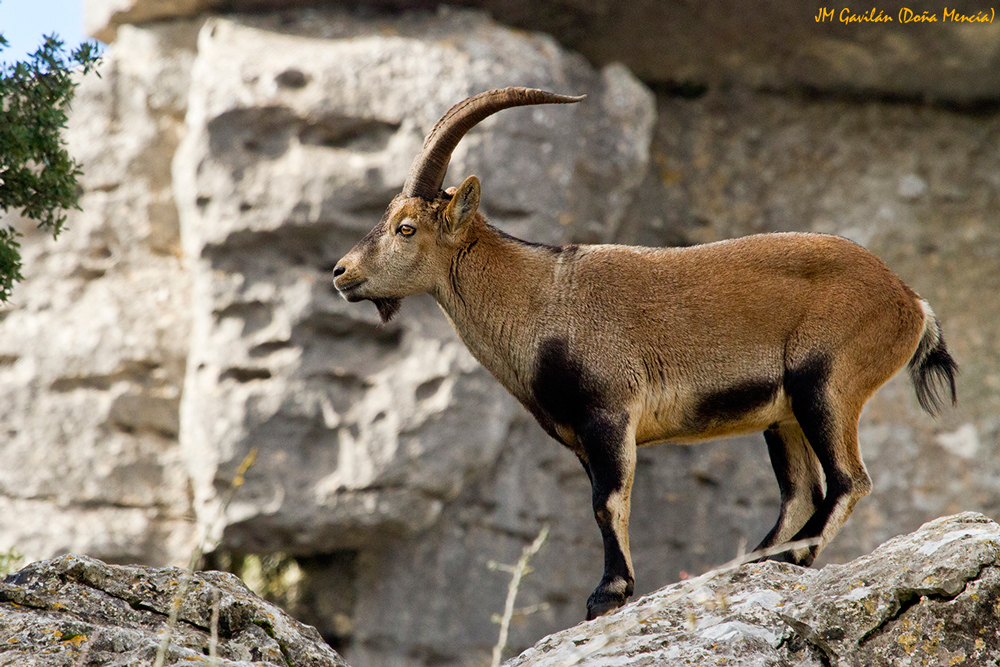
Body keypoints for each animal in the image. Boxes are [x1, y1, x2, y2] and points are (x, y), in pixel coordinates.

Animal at [333, 87, 958, 620]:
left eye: (406, 227)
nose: (341, 272)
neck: (541, 298)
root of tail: (909, 301)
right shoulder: (582, 436)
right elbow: (603, 501)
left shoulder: (609, 415)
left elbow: (607, 502)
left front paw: (608, 595)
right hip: (784, 416)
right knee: (802, 490)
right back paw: (749, 563)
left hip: (826, 385)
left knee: (849, 479)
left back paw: (790, 558)